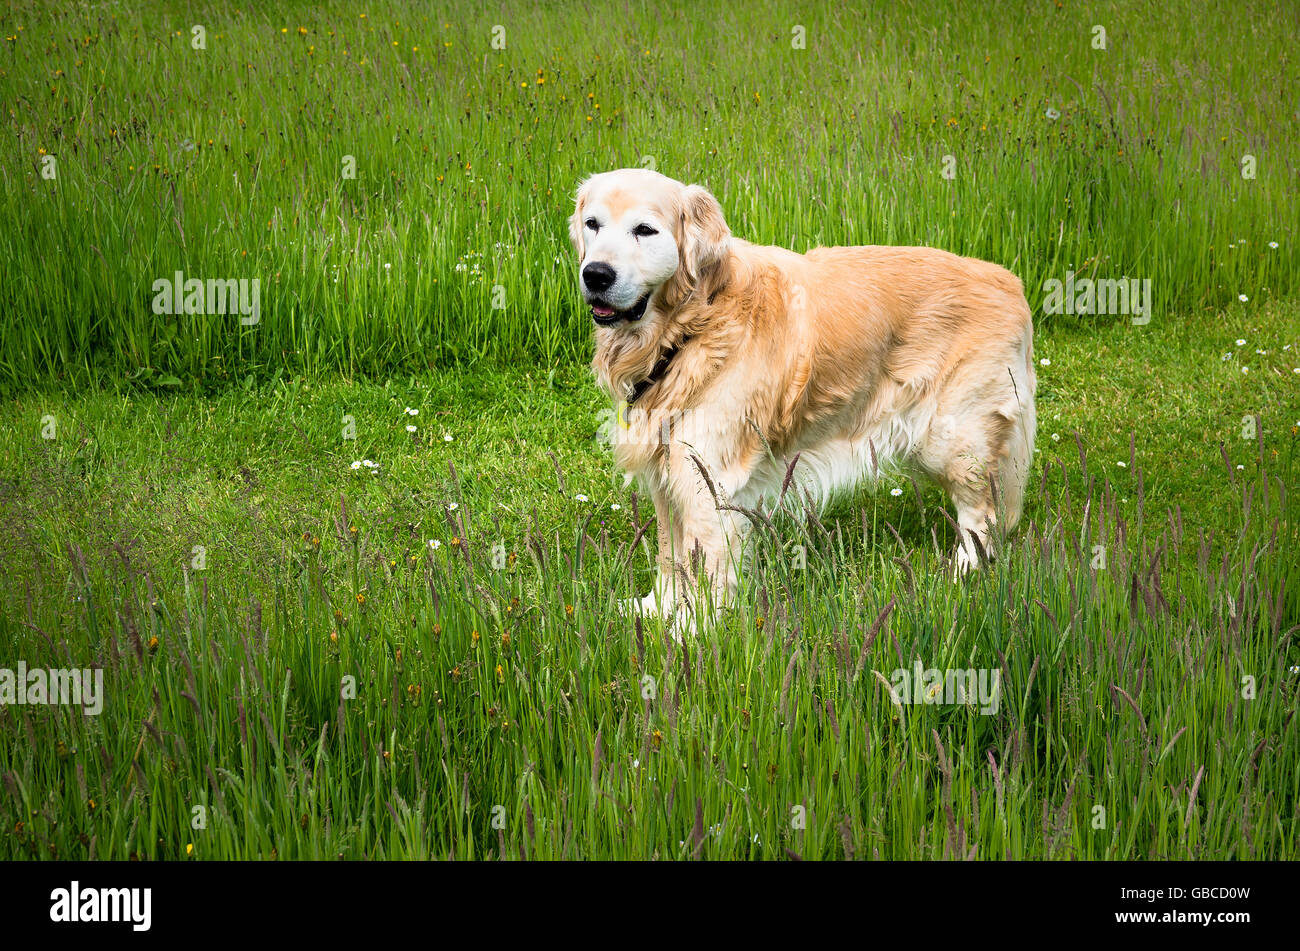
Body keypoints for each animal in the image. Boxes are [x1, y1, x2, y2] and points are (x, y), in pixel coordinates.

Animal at [569, 167, 1034, 621]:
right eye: (593, 224)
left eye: (645, 230)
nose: (596, 274)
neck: (691, 326)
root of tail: (1010, 281)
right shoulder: (666, 469)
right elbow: (671, 555)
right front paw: (656, 609)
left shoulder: (708, 476)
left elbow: (704, 565)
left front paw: (693, 628)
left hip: (952, 439)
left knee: (981, 515)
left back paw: (963, 573)